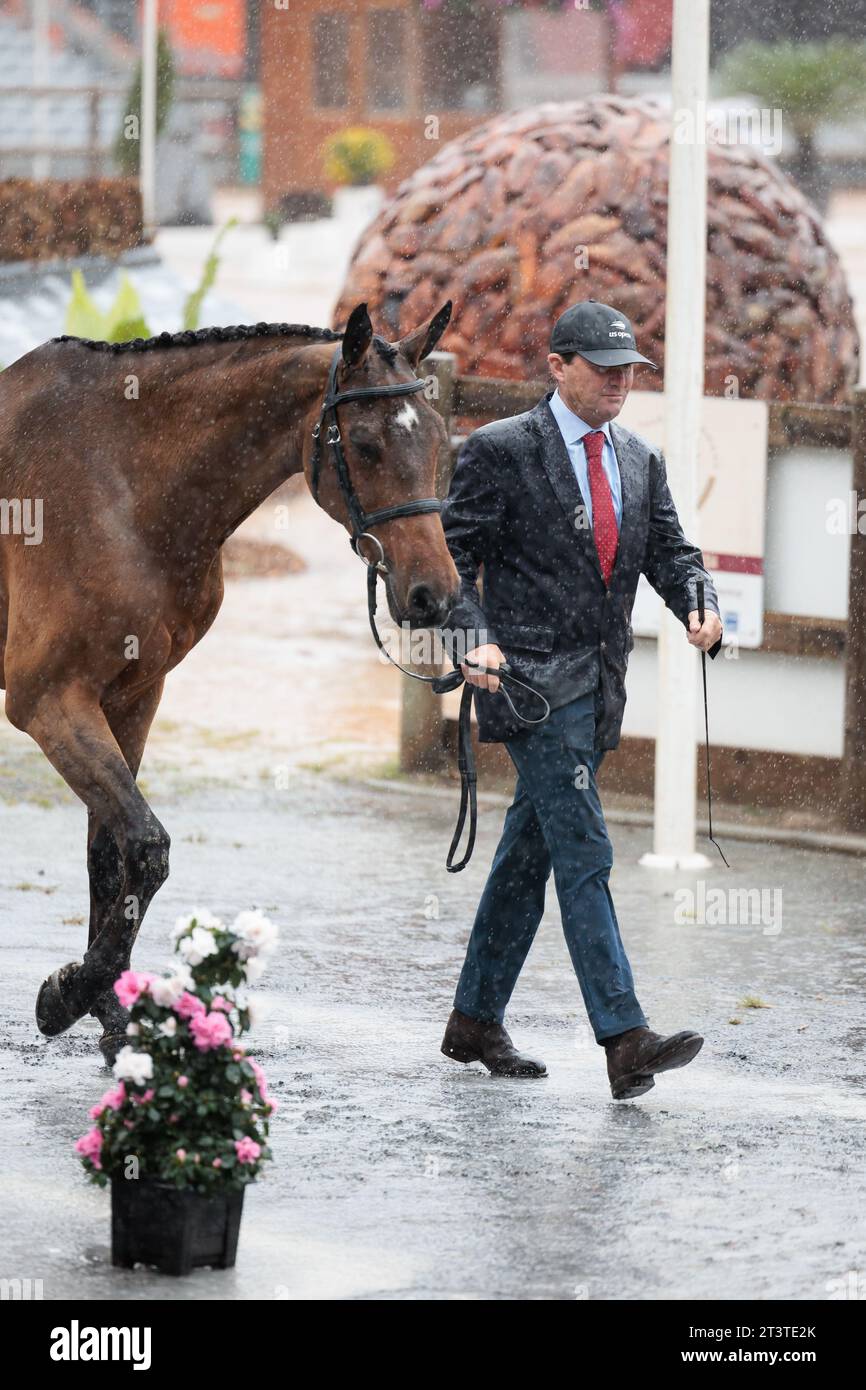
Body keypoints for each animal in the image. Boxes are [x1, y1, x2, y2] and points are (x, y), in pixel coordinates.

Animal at [0, 300, 459, 1064]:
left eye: (437, 444)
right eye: (366, 447)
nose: (433, 596)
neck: (121, 480)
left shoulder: (132, 696)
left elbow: (111, 855)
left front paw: (108, 1010)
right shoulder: (50, 702)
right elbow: (146, 848)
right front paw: (65, 996)